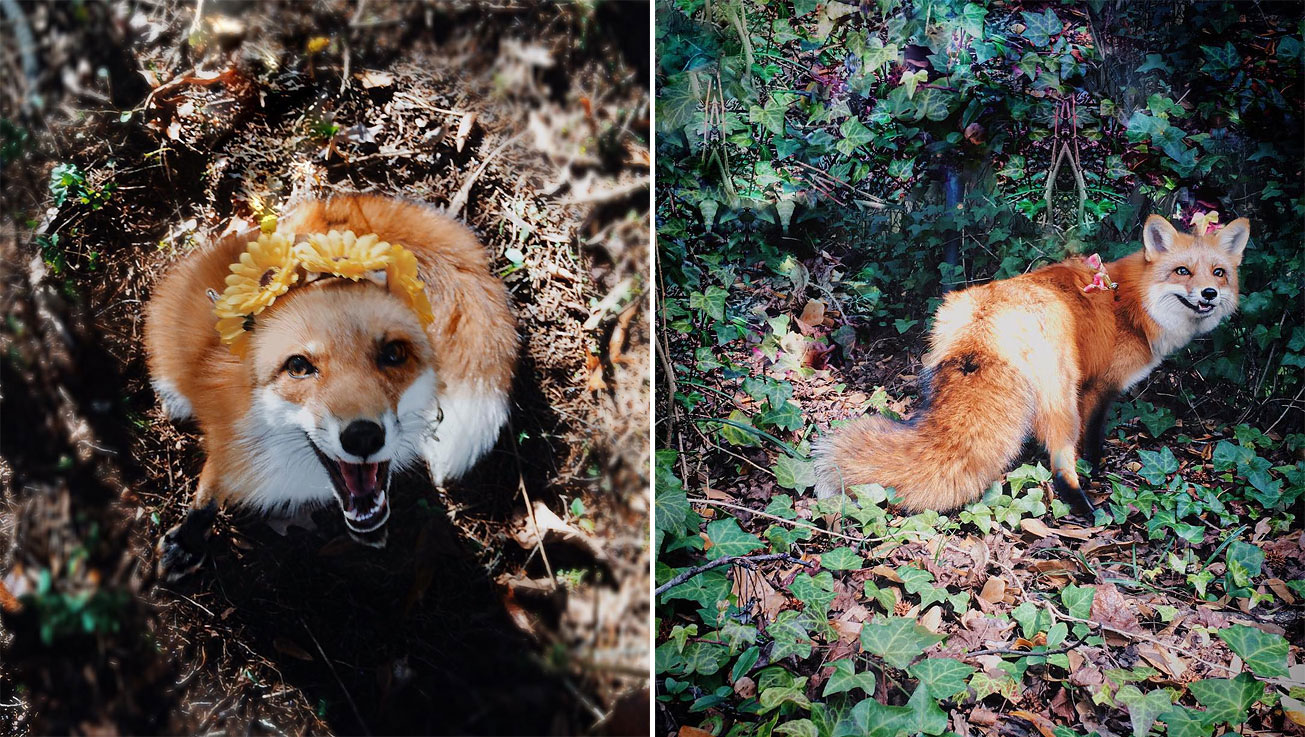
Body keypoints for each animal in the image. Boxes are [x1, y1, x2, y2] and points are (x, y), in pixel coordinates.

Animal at [144, 194, 517, 579]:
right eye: (297, 366)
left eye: (394, 353)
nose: (363, 437)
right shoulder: (224, 447)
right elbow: (206, 498)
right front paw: (187, 542)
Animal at [813, 214, 1250, 516]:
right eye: (1182, 271)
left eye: (1219, 273)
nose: (1208, 294)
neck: (1132, 304)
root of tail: (986, 316)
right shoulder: (1099, 387)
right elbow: (1093, 438)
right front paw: (1097, 468)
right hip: (1062, 393)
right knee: (1059, 458)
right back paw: (1081, 503)